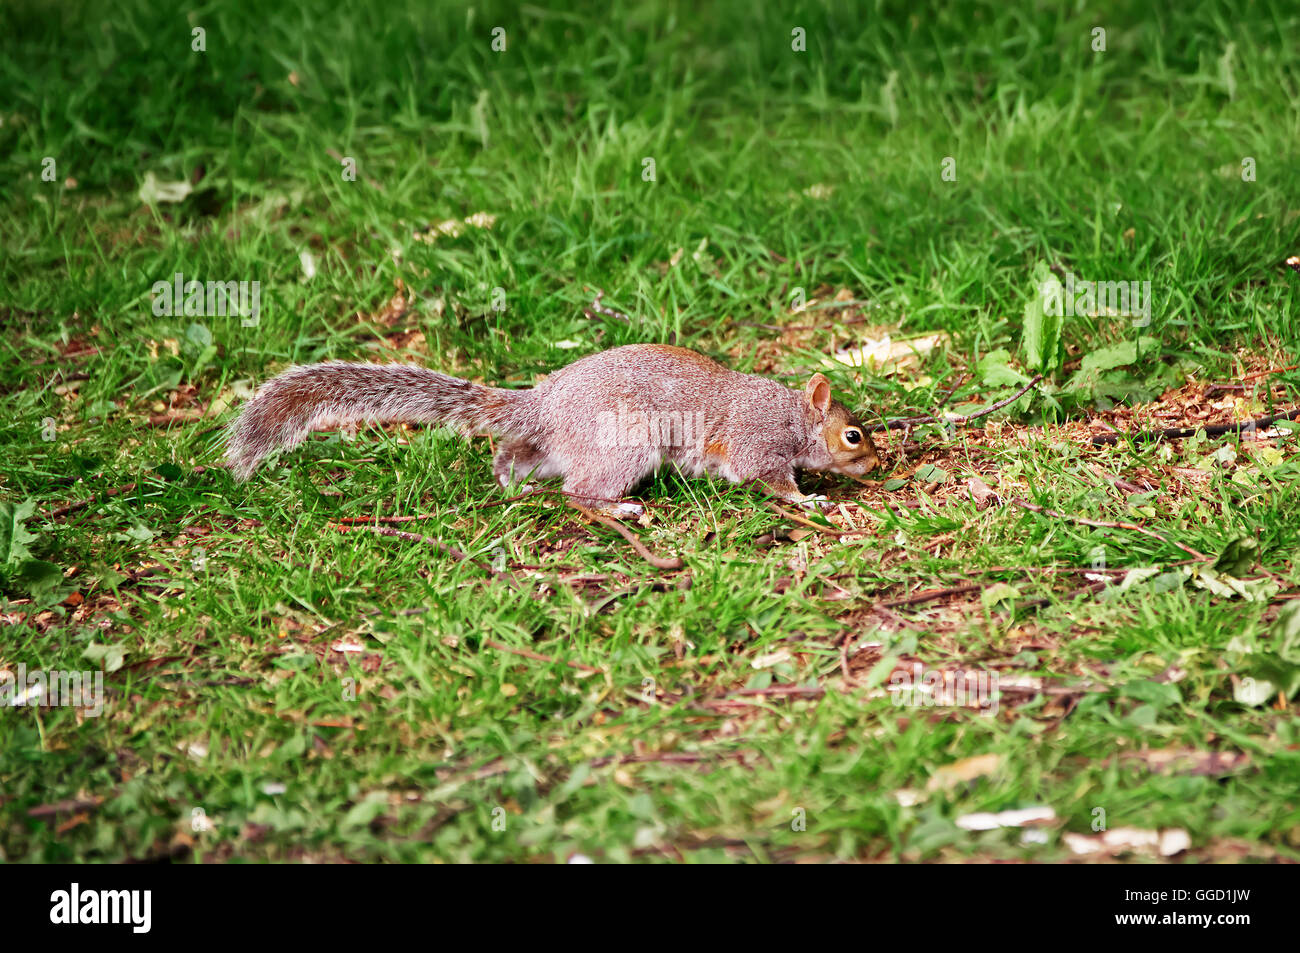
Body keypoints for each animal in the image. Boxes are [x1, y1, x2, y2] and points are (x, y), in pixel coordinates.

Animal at [223, 344, 880, 513]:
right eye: (853, 436)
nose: (878, 464)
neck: (793, 416)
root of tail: (545, 405)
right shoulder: (758, 442)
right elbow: (769, 478)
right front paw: (810, 499)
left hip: (549, 448)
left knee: (513, 461)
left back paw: (515, 486)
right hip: (623, 448)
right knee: (578, 491)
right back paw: (618, 508)